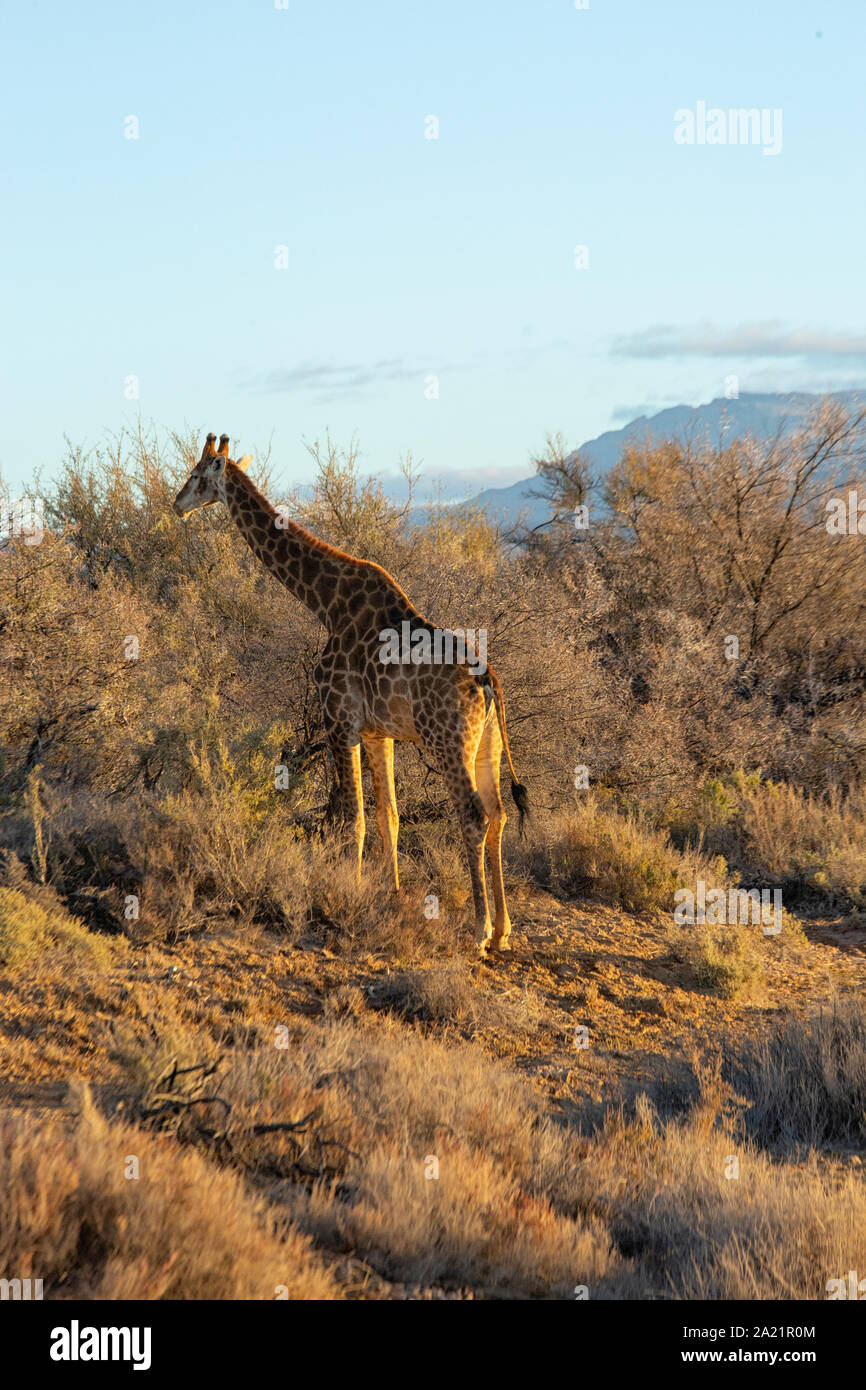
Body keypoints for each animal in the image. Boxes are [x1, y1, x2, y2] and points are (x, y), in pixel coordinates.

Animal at [173, 434, 529, 954]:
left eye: (197, 474)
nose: (176, 504)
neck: (323, 602)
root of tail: (487, 682)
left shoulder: (338, 720)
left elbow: (351, 818)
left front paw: (350, 893)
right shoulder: (379, 732)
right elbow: (388, 816)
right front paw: (391, 894)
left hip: (447, 740)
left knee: (473, 815)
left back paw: (479, 929)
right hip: (488, 743)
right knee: (500, 813)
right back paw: (503, 929)